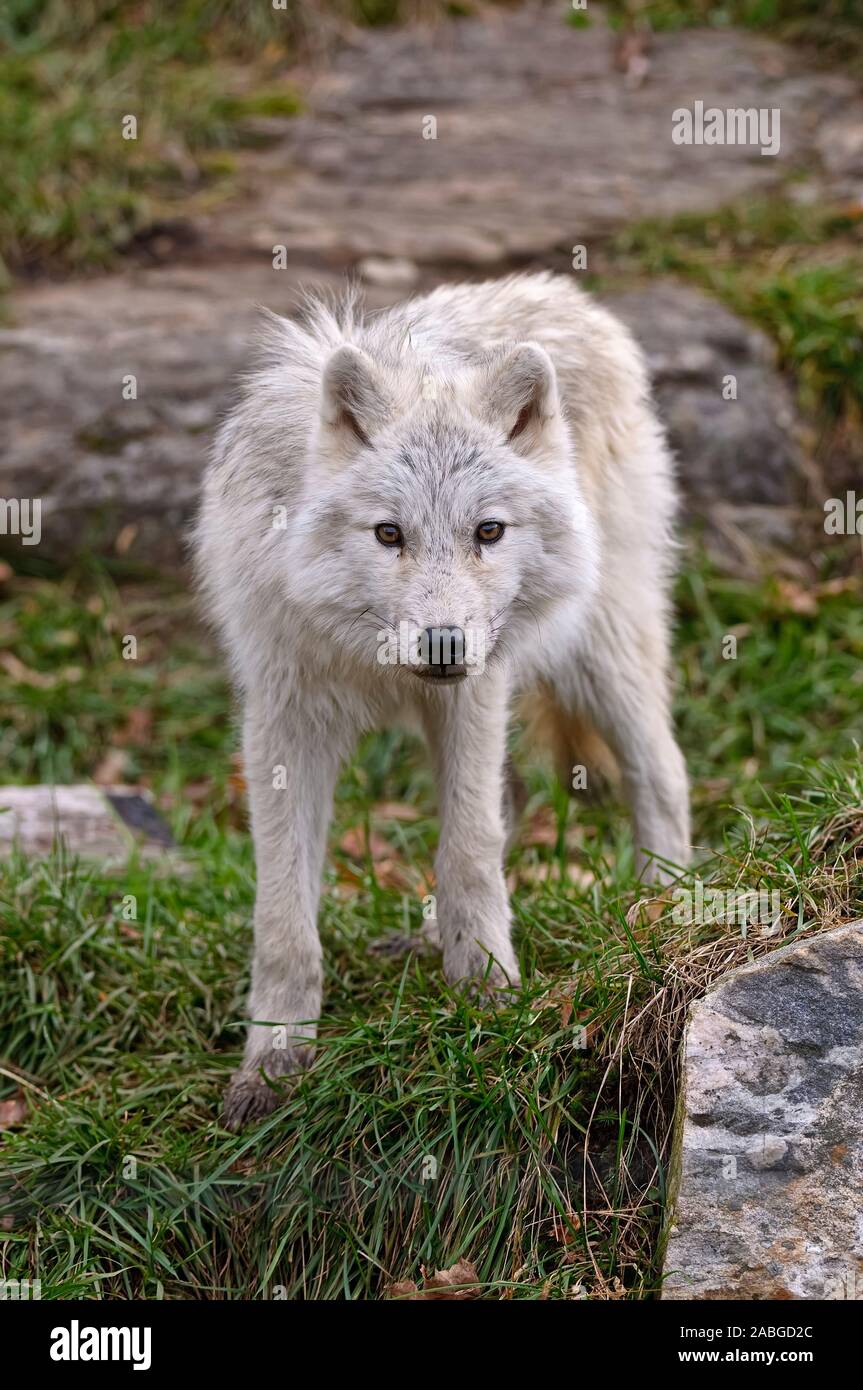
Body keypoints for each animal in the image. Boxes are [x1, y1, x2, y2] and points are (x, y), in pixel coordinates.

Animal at [194, 272, 690, 1128]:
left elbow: (468, 853)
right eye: (388, 534)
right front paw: (273, 1060)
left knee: (661, 771)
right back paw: (429, 938)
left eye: (487, 531)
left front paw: (490, 998)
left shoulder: (474, 694)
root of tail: (573, 298)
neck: (373, 657)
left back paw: (660, 912)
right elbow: (283, 916)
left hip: (596, 653)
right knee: (518, 793)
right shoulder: (285, 719)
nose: (443, 644)